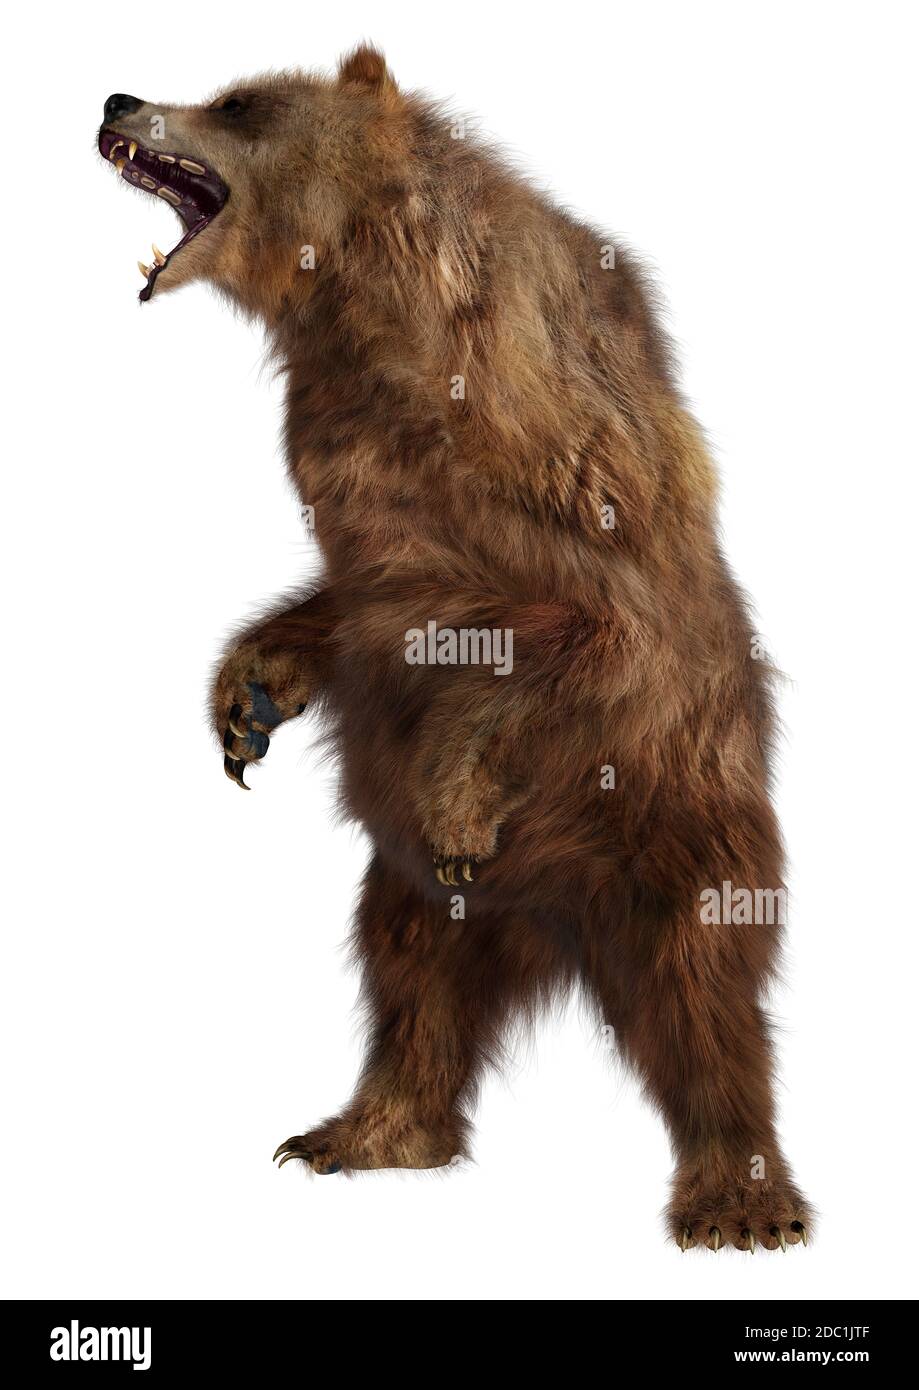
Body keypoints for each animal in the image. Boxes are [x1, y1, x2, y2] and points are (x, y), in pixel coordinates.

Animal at [97, 45, 812, 1251]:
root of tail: (558, 925)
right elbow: (354, 610)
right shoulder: (357, 482)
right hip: (414, 900)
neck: (365, 319)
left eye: (238, 101)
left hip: (679, 827)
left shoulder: (567, 477)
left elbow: (576, 628)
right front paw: (248, 700)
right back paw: (362, 1130)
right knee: (409, 980)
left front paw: (460, 795)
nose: (116, 98)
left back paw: (739, 1198)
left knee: (702, 994)